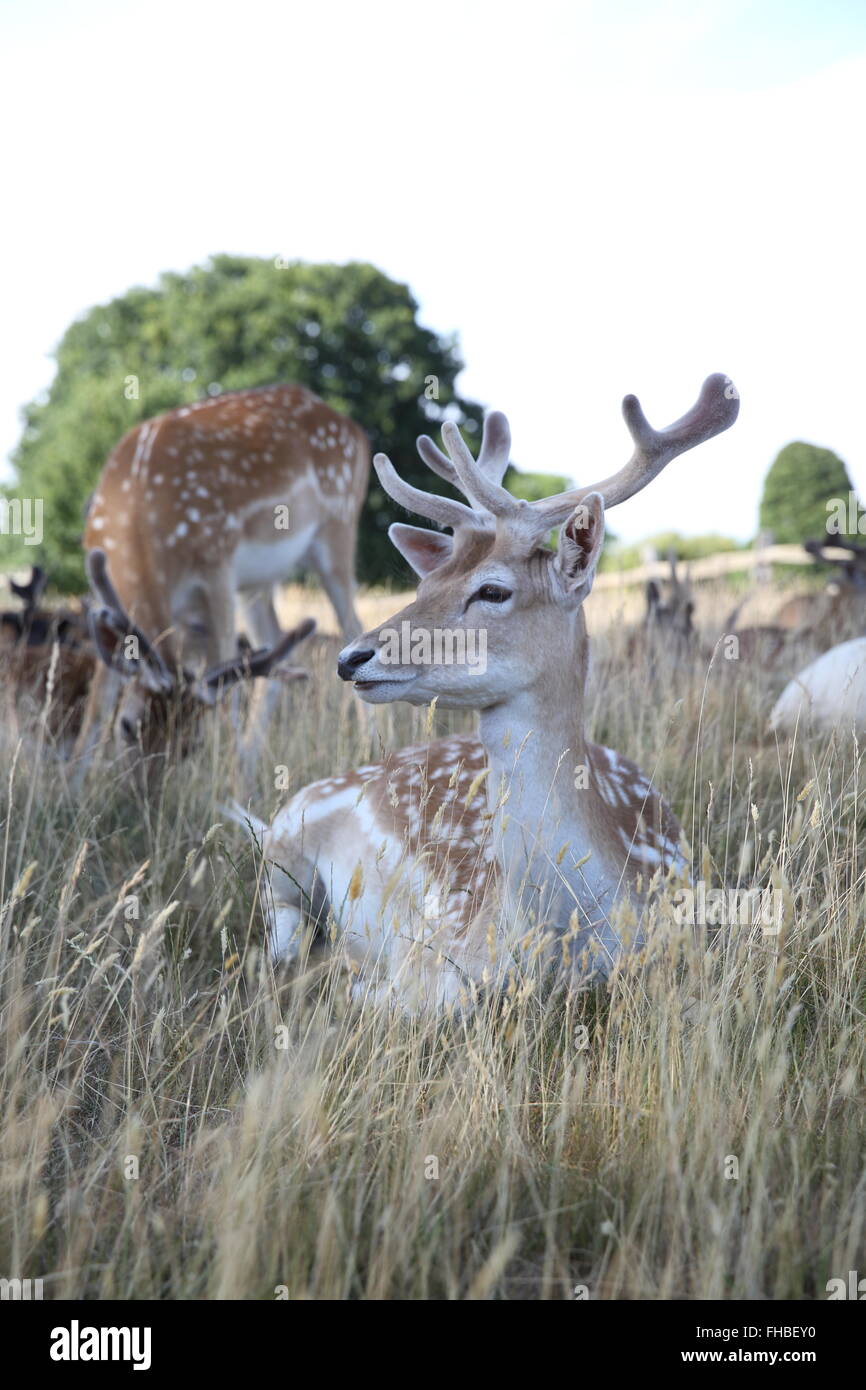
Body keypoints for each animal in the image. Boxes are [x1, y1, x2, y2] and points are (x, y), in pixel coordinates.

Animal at [76, 384, 369, 760]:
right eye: (126, 728)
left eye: (192, 746)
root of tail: (357, 430)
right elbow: (97, 706)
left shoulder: (217, 560)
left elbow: (226, 682)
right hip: (258, 582)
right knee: (275, 641)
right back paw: (249, 763)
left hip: (339, 527)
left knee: (353, 626)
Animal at [231, 373, 739, 1013]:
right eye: (425, 584)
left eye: (493, 590)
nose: (351, 658)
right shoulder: (444, 939)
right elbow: (431, 994)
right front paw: (358, 977)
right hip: (285, 846)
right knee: (282, 936)